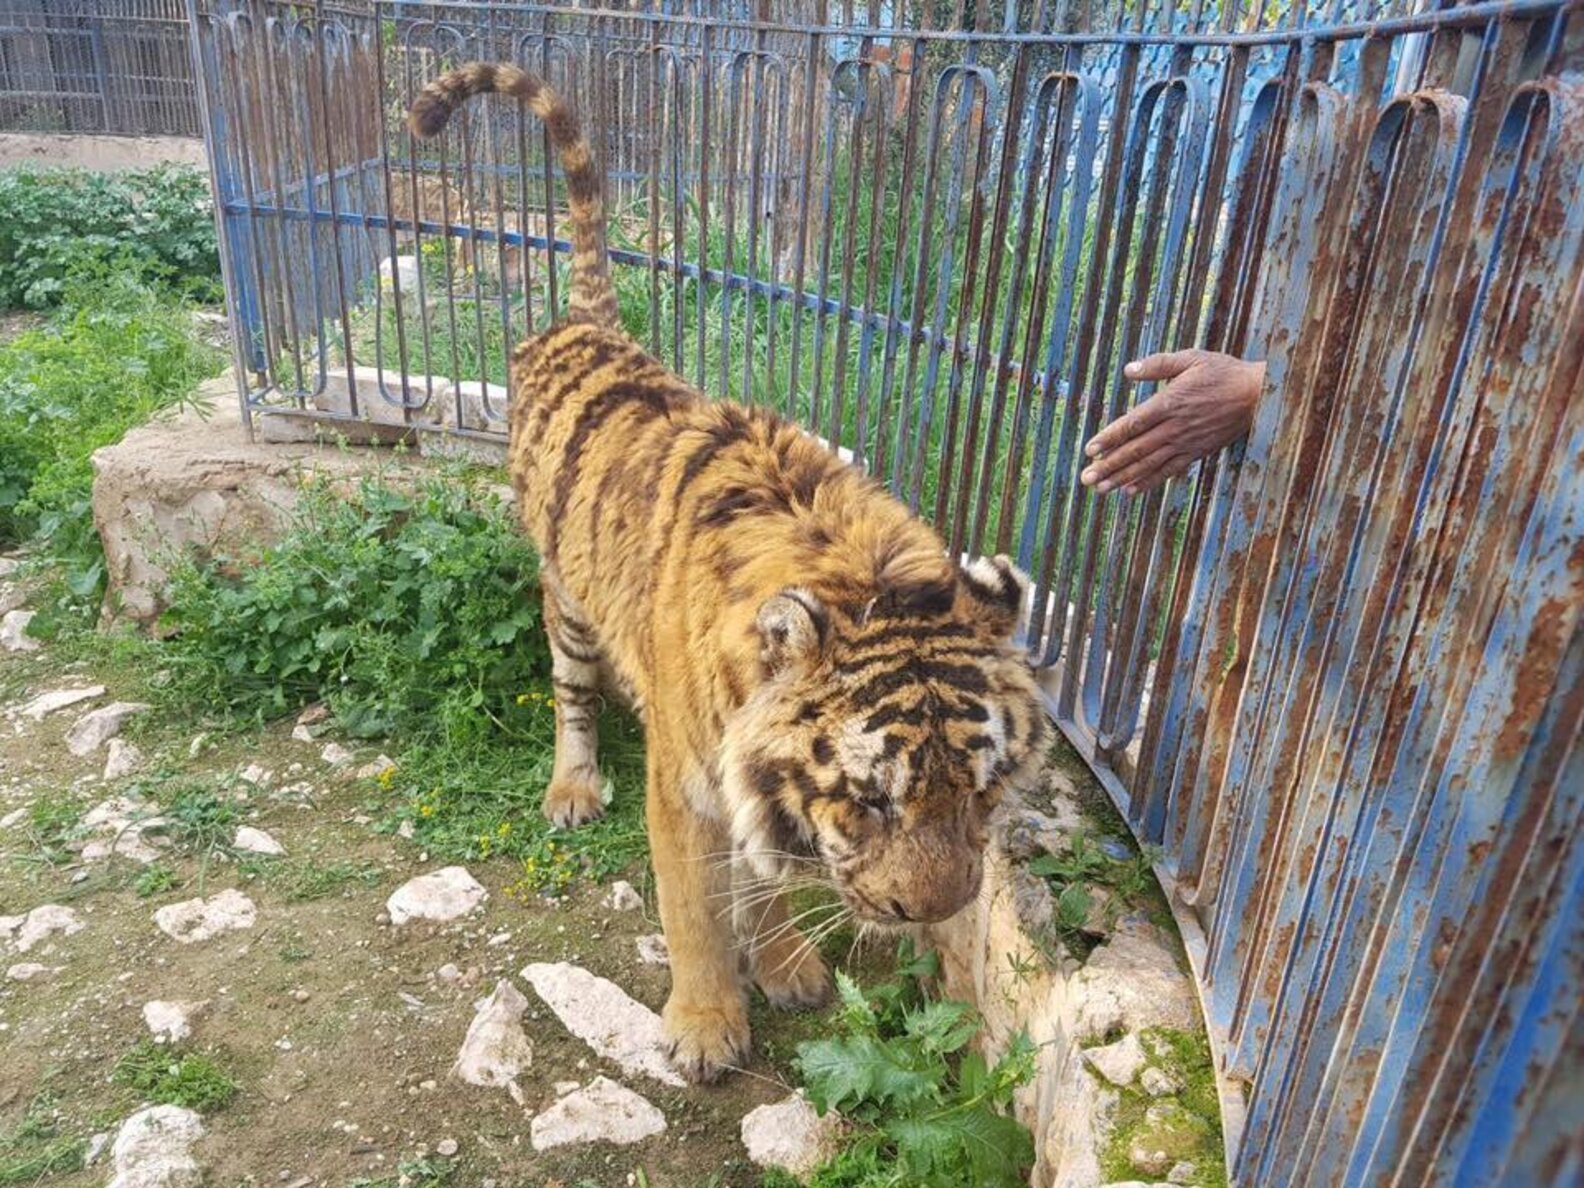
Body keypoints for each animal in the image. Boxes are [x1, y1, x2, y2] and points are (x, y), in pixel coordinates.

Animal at [409, 62, 1049, 1083]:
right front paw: (707, 1026)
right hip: (566, 601)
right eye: (873, 798)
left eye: (983, 790)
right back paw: (573, 787)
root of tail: (580, 323)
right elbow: (696, 910)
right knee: (569, 694)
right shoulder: (687, 790)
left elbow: (765, 880)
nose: (937, 913)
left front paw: (785, 964)